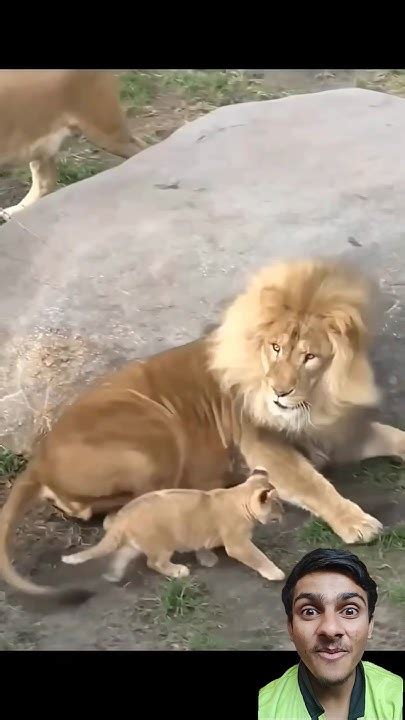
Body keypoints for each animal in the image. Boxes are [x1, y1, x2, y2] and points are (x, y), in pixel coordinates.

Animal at [61, 467, 285, 584]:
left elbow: (201, 545)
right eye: (278, 505)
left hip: (135, 545)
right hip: (161, 544)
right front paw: (275, 573)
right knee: (154, 563)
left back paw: (112, 576)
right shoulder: (238, 544)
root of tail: (124, 515)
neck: (240, 497)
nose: (283, 514)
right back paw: (178, 571)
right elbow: (258, 558)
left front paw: (207, 558)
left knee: (120, 556)